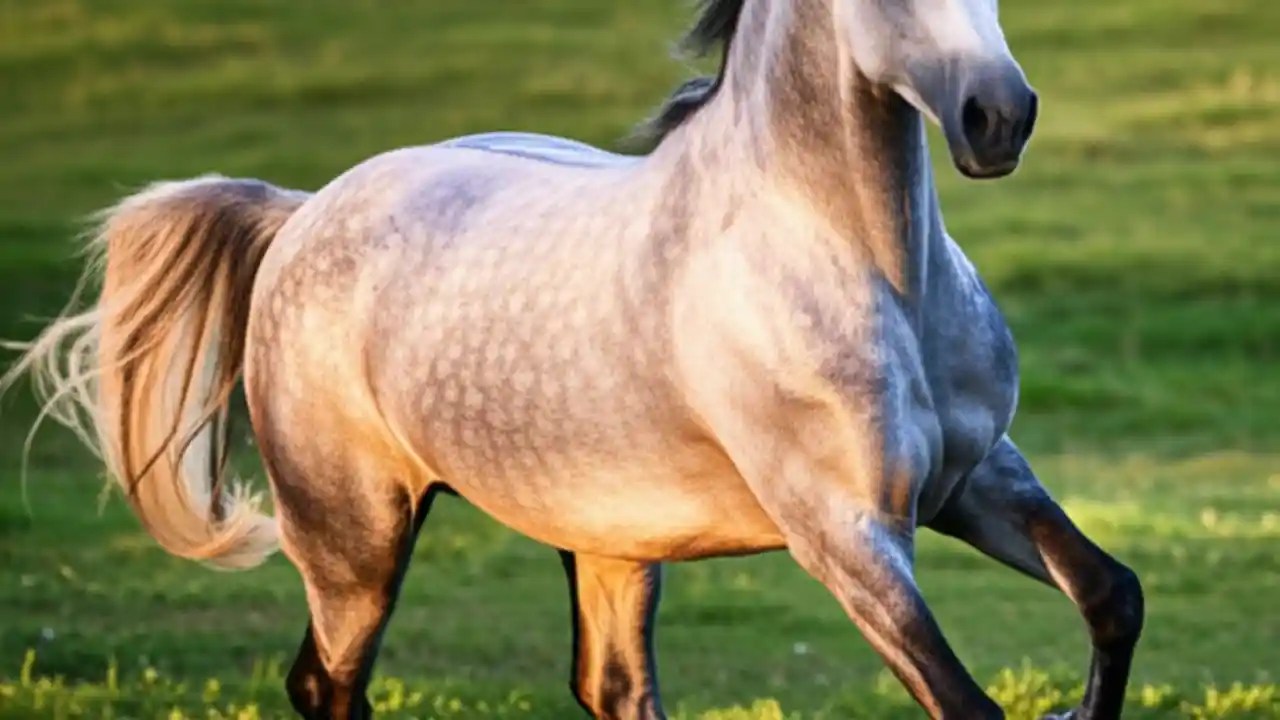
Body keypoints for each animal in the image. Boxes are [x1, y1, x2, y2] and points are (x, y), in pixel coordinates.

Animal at [1, 0, 1145, 717]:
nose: (998, 117)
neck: (862, 264)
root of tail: (300, 213)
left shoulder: (976, 478)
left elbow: (1111, 595)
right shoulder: (846, 534)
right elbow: (968, 703)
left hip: (604, 537)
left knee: (613, 688)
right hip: (351, 535)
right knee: (327, 684)